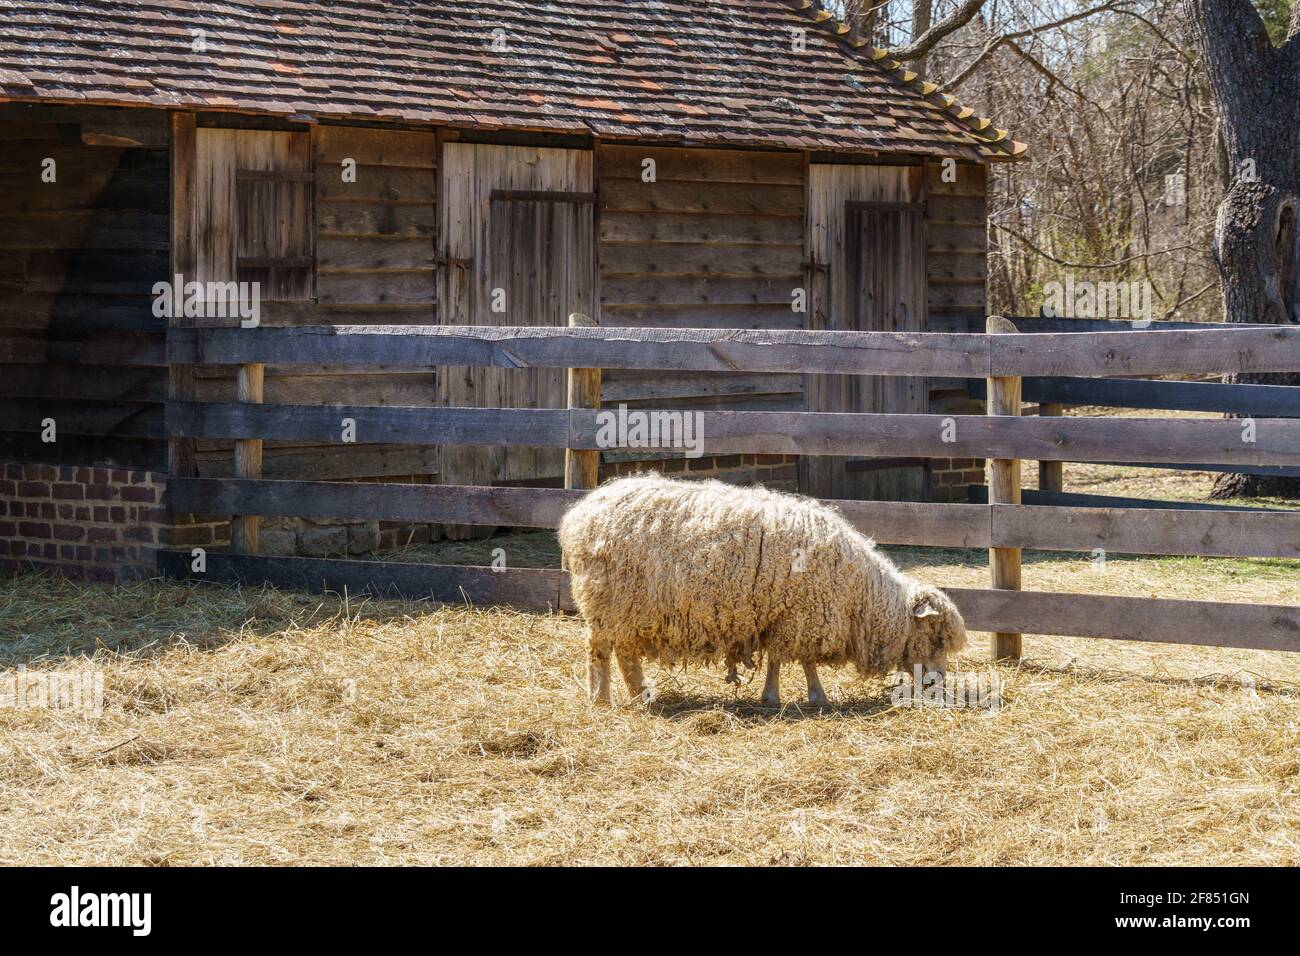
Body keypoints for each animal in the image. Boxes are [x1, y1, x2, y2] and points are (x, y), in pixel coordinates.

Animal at [558, 473, 967, 707]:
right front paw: (813, 696)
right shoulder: (801, 615)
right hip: (612, 602)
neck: (860, 596)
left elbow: (776, 658)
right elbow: (800, 660)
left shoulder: (783, 615)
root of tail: (578, 516)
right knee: (602, 652)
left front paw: (774, 694)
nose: (938, 683)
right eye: (934, 638)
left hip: (623, 610)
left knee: (623, 653)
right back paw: (603, 698)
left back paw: (633, 696)